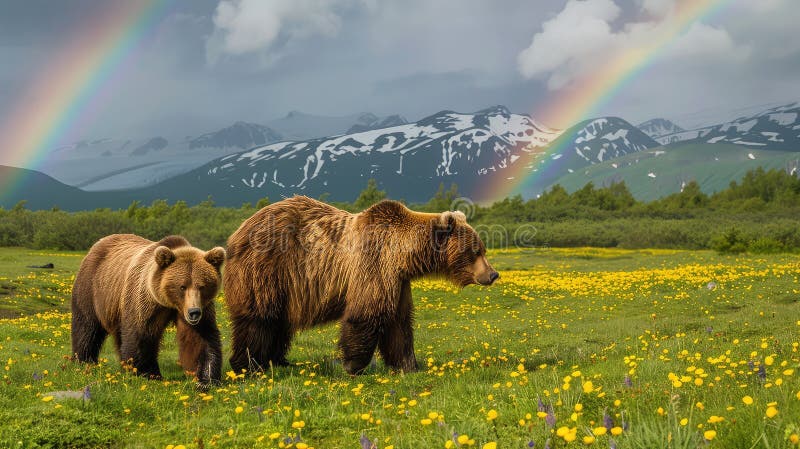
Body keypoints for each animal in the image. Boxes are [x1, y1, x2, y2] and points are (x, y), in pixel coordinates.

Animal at [71, 234, 226, 386]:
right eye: (182, 286)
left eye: (202, 286)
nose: (194, 312)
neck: (170, 303)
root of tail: (99, 243)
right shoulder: (146, 301)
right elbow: (141, 334)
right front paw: (147, 373)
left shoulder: (201, 307)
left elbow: (201, 337)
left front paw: (206, 379)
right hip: (93, 288)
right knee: (87, 326)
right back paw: (84, 361)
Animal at [224, 196, 498, 375]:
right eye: (476, 250)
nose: (493, 274)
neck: (404, 255)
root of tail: (238, 231)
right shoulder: (374, 264)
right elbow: (367, 313)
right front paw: (353, 366)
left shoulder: (399, 281)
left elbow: (400, 324)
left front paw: (408, 365)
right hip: (267, 269)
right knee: (258, 319)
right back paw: (248, 366)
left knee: (279, 323)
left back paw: (279, 361)